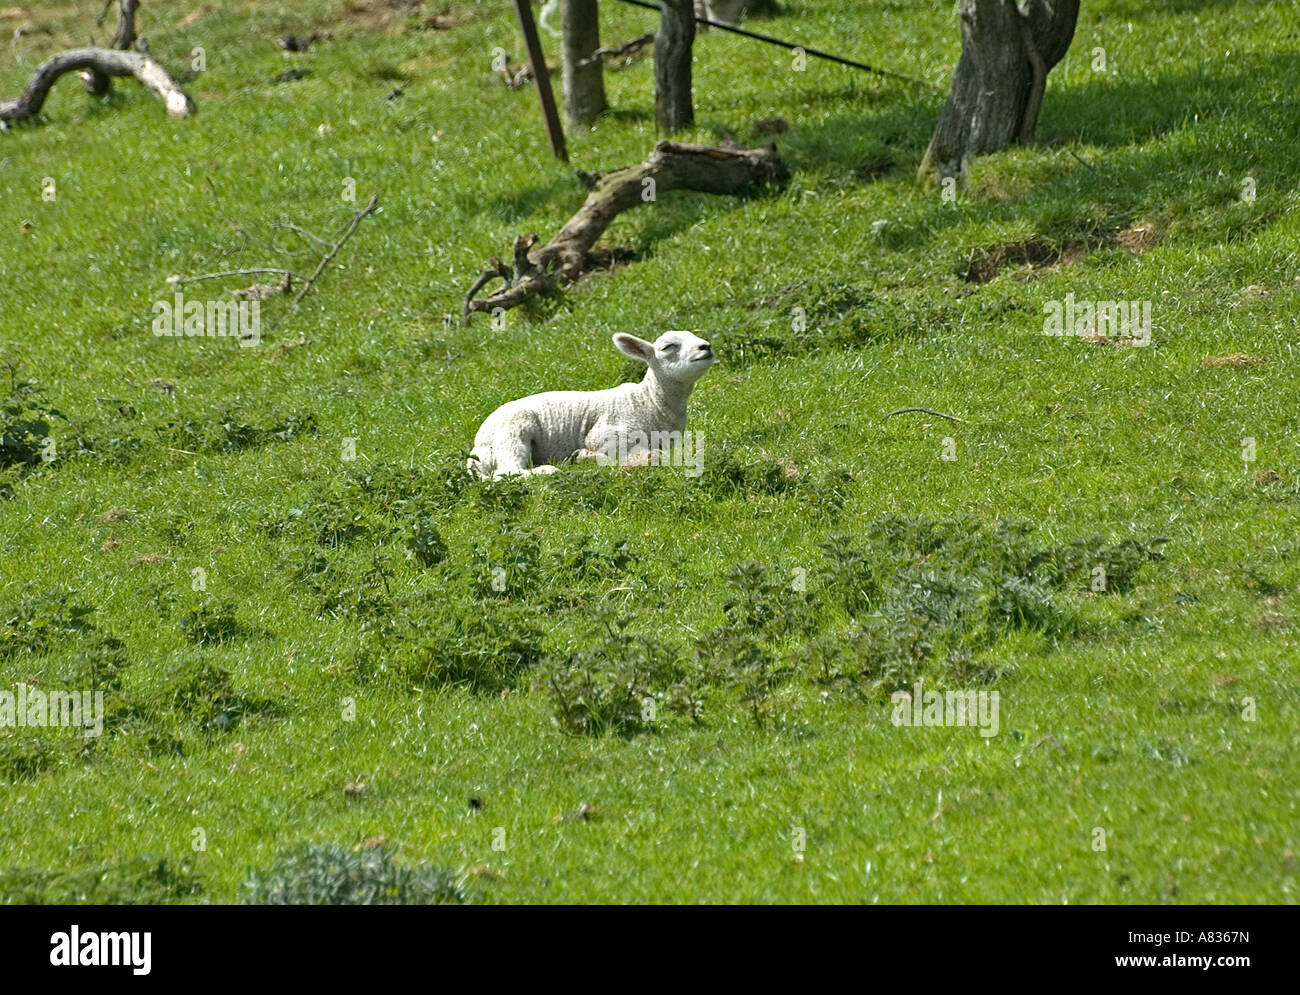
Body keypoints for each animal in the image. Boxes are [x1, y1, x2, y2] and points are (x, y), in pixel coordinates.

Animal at [467, 331, 715, 479]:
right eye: (668, 347)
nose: (706, 347)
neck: (649, 403)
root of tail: (475, 452)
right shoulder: (606, 434)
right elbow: (650, 455)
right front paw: (585, 456)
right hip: (510, 433)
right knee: (506, 472)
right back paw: (549, 470)